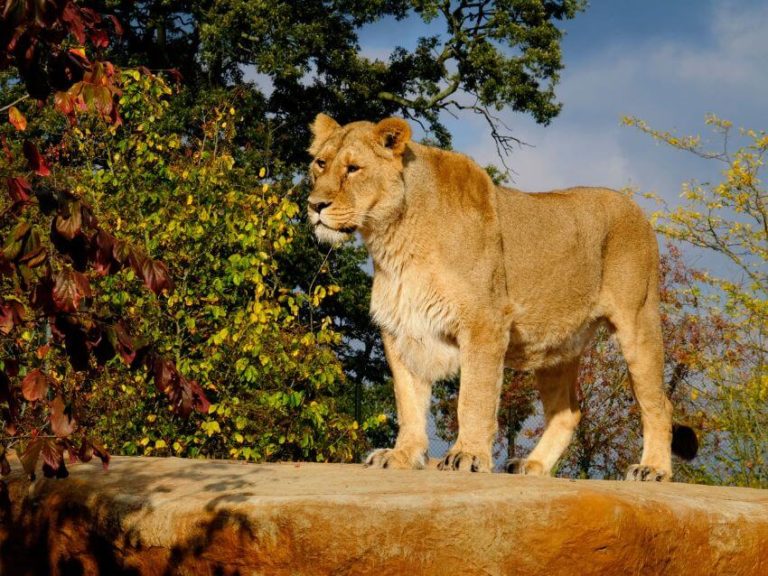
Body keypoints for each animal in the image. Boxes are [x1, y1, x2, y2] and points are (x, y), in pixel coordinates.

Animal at [307, 114, 697, 481]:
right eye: (320, 163)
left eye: (353, 168)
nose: (314, 205)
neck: (393, 238)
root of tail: (636, 210)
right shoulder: (402, 328)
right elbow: (408, 402)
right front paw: (402, 455)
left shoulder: (484, 322)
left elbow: (474, 397)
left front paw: (466, 456)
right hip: (555, 347)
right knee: (568, 412)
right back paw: (533, 465)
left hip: (639, 323)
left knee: (659, 405)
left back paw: (653, 469)